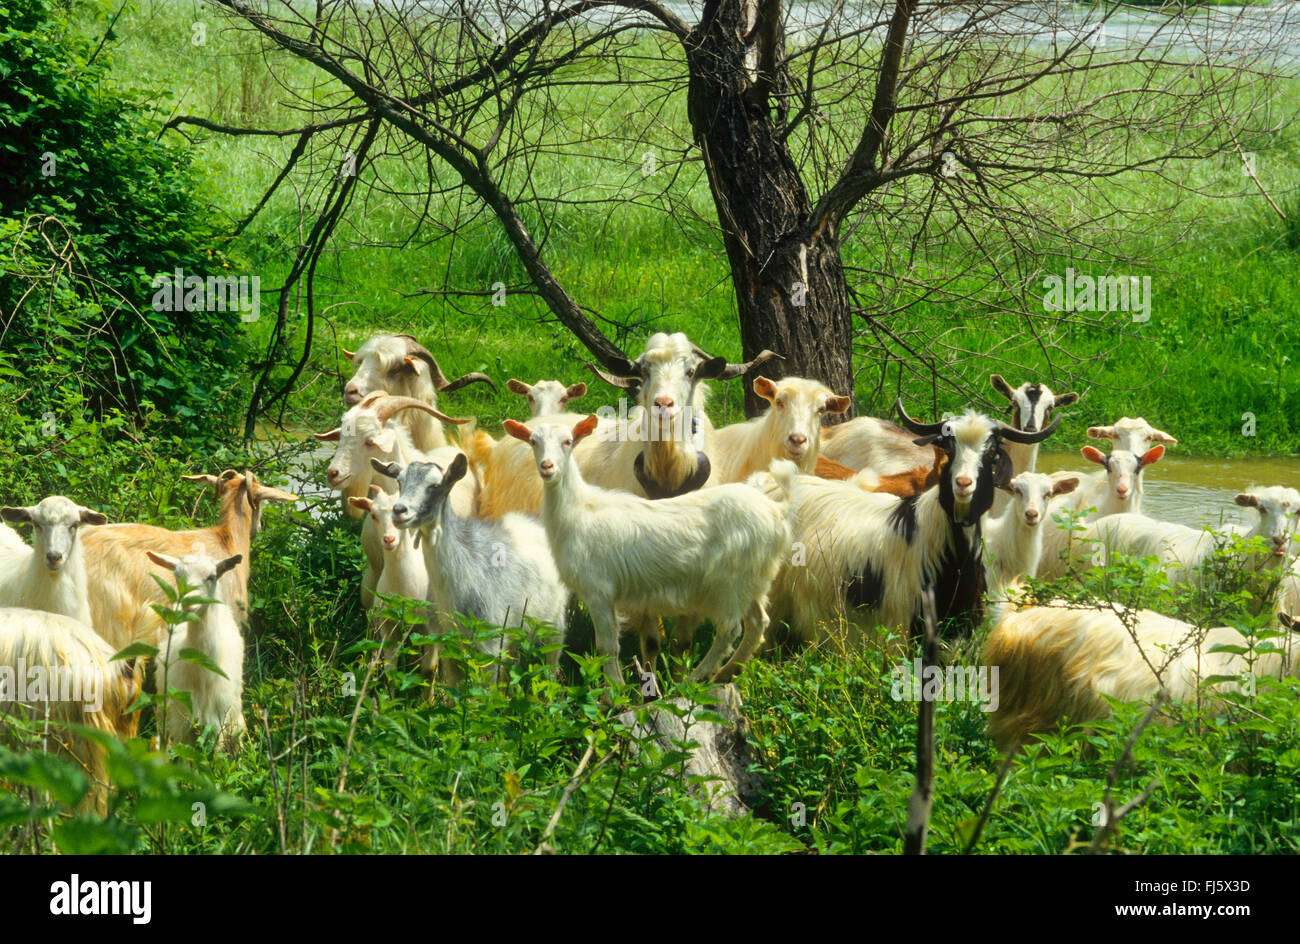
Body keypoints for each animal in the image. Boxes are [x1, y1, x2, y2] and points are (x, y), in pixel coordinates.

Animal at [146, 548, 246, 752]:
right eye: (178, 575)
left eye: (212, 576)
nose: (190, 603)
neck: (202, 679)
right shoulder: (181, 721)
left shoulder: (218, 720)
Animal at [375, 453, 568, 682]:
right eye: (399, 482)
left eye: (435, 485)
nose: (399, 511)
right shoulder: (448, 642)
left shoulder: (489, 644)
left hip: (554, 618)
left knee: (553, 656)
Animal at [506, 415, 795, 688]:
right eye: (533, 441)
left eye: (568, 441)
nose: (547, 467)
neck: (580, 509)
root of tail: (777, 511)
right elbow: (613, 644)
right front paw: (617, 686)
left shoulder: (597, 589)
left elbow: (605, 645)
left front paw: (613, 692)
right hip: (755, 577)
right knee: (758, 622)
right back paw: (726, 673)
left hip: (729, 583)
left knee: (729, 630)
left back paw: (694, 680)